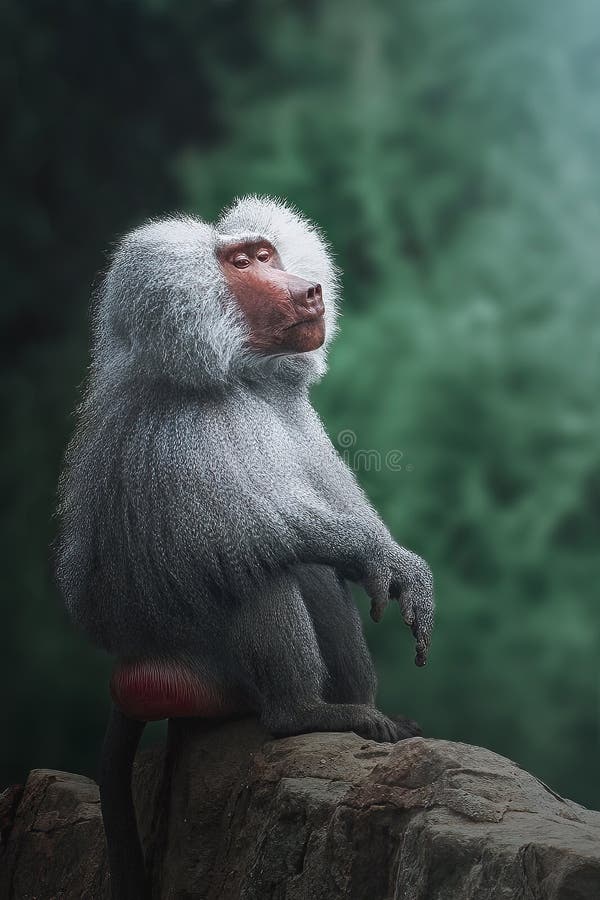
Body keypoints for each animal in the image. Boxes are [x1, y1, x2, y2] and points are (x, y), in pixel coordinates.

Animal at [55, 196, 435, 899]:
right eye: (239, 263)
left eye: (265, 253)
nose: (309, 290)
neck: (240, 374)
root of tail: (136, 668)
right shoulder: (183, 428)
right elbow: (236, 536)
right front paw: (381, 557)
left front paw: (402, 566)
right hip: (195, 658)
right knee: (254, 570)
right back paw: (303, 714)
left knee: (316, 576)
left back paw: (365, 715)